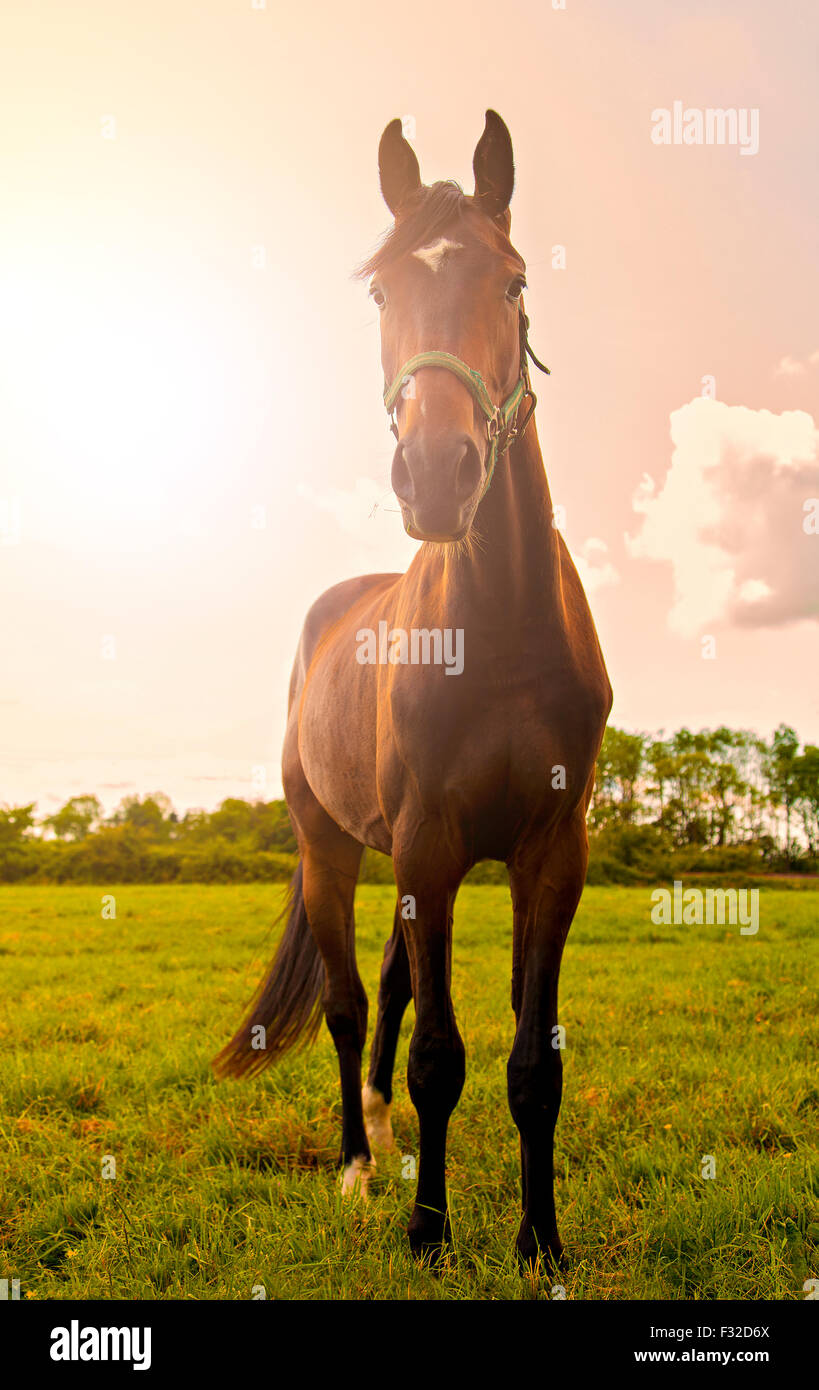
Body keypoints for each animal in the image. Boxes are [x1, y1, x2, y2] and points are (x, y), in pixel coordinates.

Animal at [215, 110, 612, 1271]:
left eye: (512, 280)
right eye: (383, 292)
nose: (438, 471)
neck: (501, 625)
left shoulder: (549, 853)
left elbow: (533, 1058)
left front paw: (540, 1243)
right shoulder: (431, 845)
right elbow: (440, 1052)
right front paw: (428, 1235)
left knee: (387, 989)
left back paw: (383, 1135)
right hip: (334, 846)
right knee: (353, 1003)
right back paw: (356, 1160)